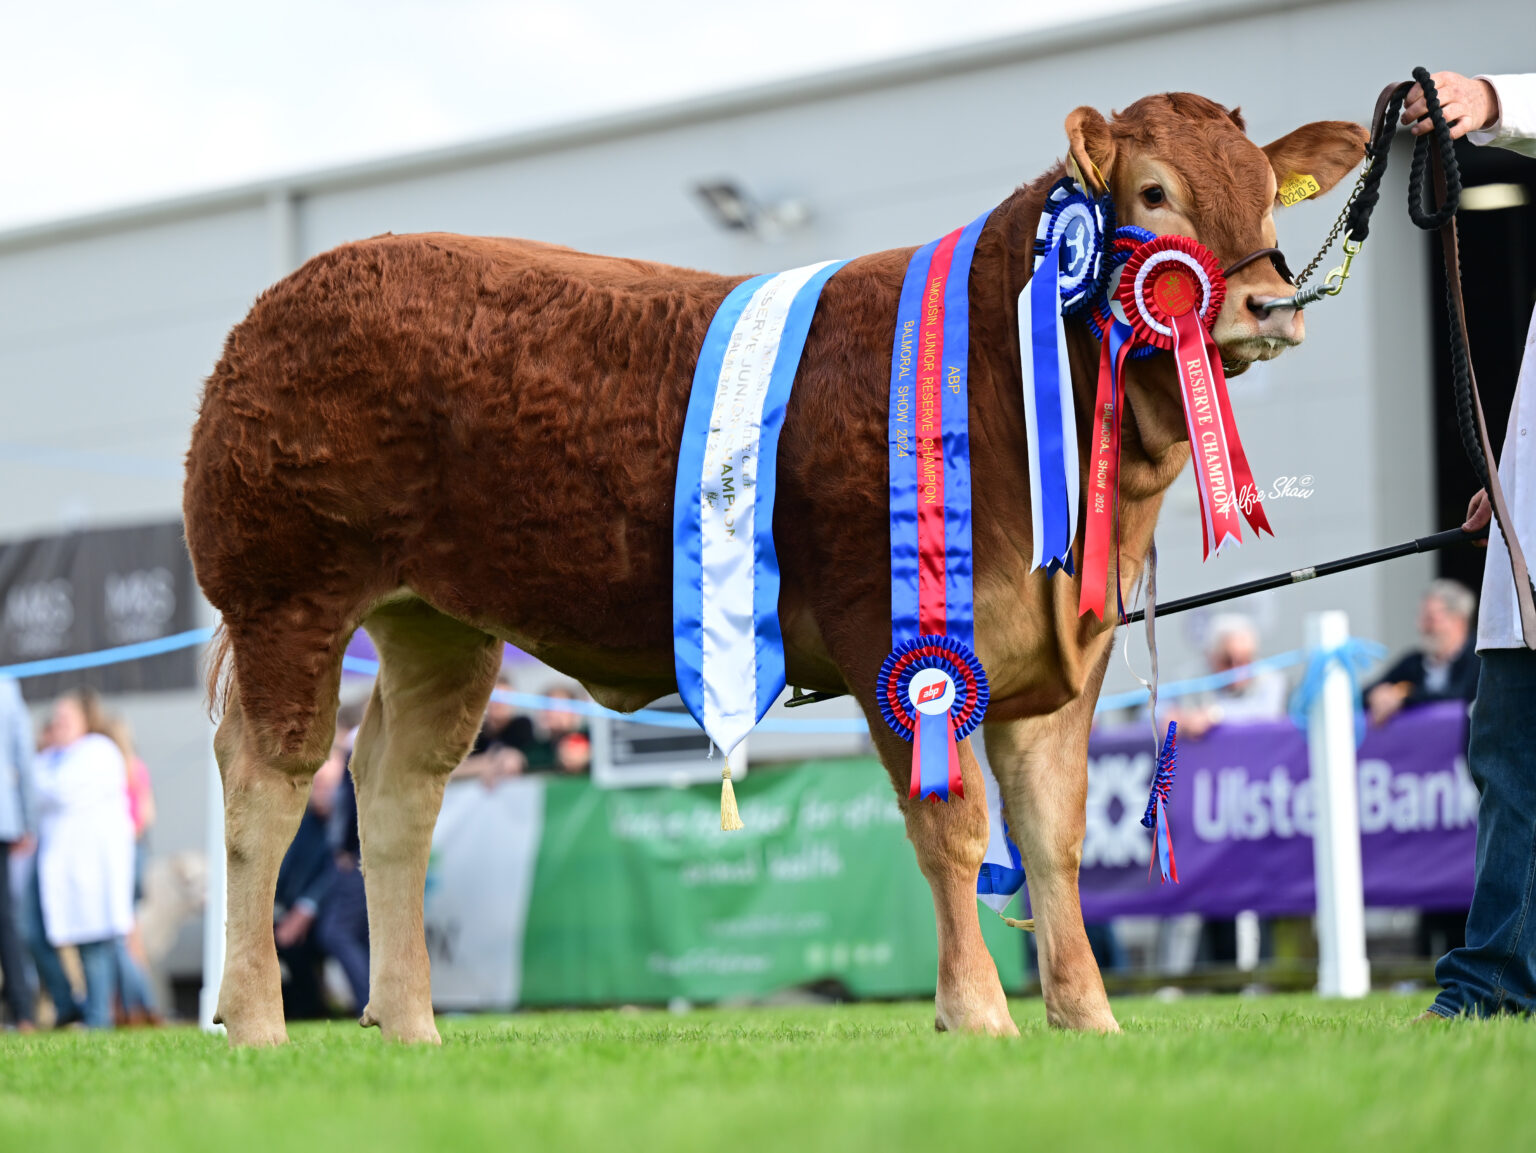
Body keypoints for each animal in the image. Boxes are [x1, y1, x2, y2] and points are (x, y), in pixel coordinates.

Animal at [184, 92, 1366, 1046]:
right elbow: (952, 826)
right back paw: (255, 1020)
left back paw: (412, 1024)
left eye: (1271, 195)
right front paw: (978, 1012)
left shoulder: (1061, 659)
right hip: (288, 592)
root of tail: (295, 290)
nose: (1272, 304)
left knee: (394, 794)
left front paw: (1086, 1014)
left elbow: (1054, 838)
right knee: (265, 789)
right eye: (1156, 192)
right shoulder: (895, 635)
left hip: (439, 623)